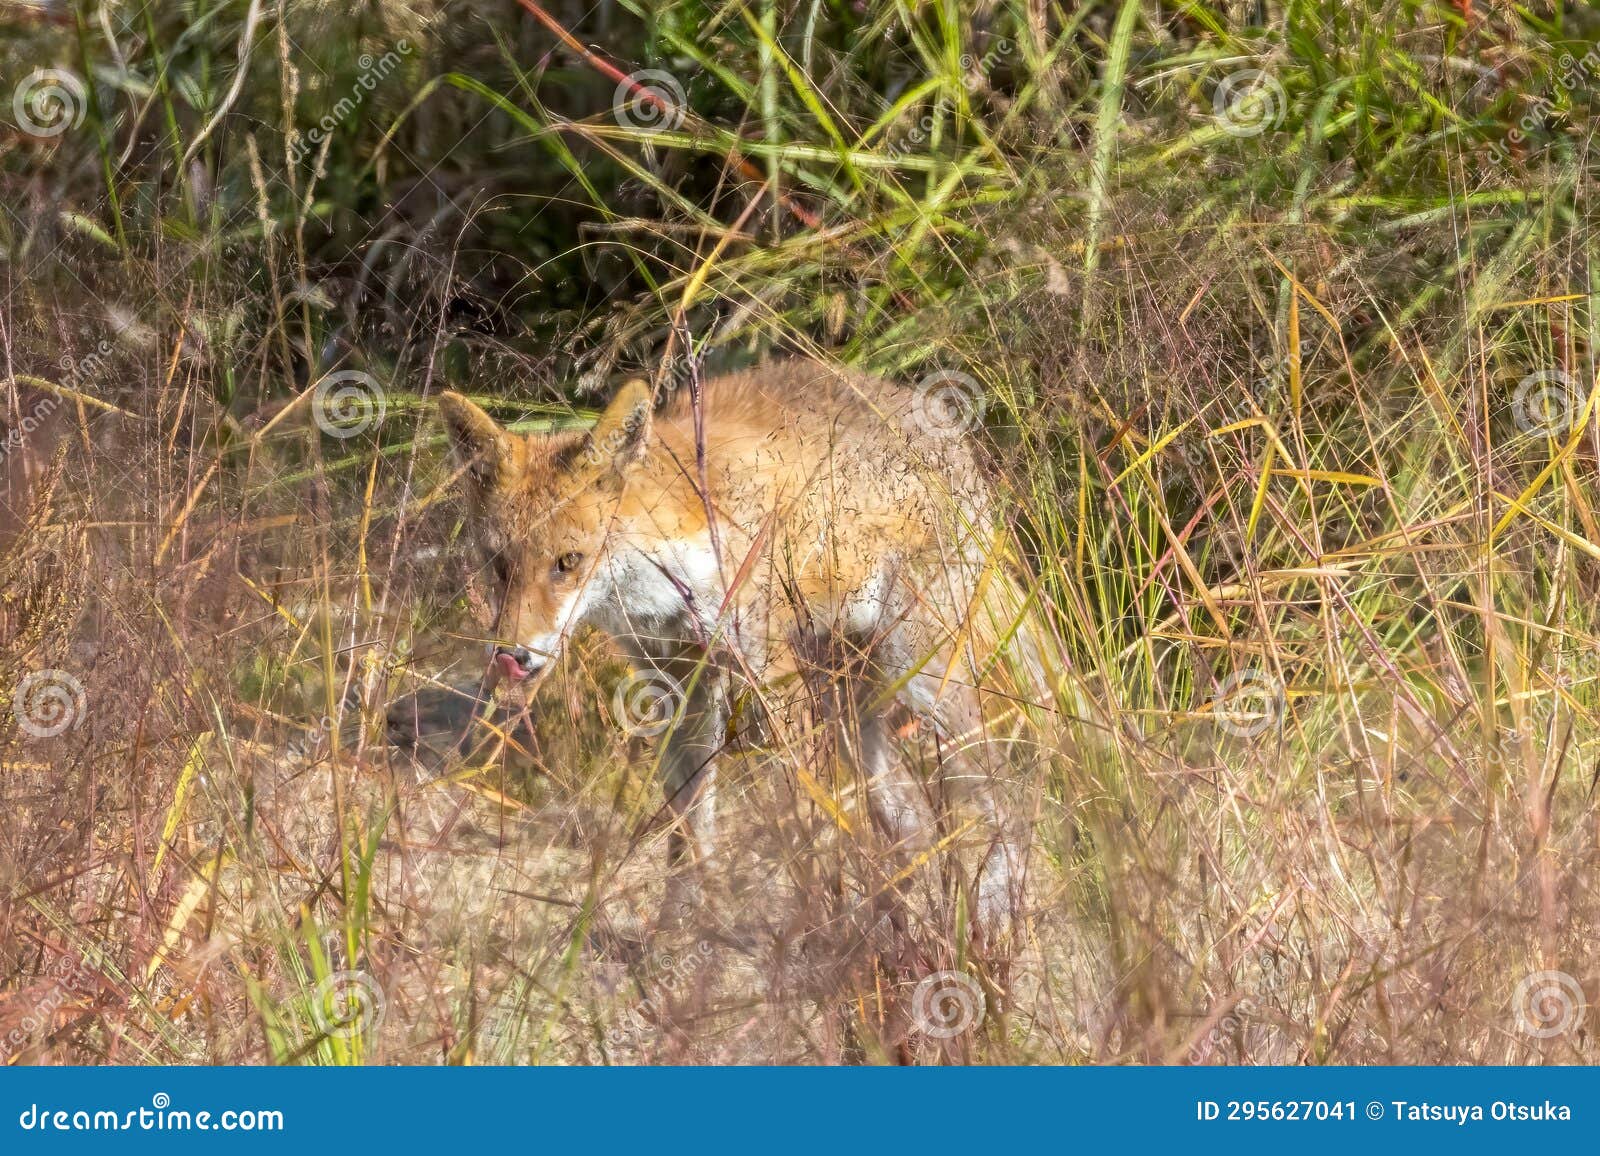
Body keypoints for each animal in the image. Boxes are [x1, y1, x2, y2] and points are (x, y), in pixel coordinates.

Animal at [437, 358, 1063, 947]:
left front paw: (807, 929)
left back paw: (993, 917)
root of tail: (944, 427)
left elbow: (803, 825)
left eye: (568, 562)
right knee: (912, 825)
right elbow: (689, 833)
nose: (512, 656)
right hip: (848, 705)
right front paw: (677, 933)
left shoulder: (771, 685)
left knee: (1004, 795)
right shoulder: (679, 690)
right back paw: (908, 920)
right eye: (499, 565)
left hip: (921, 679)